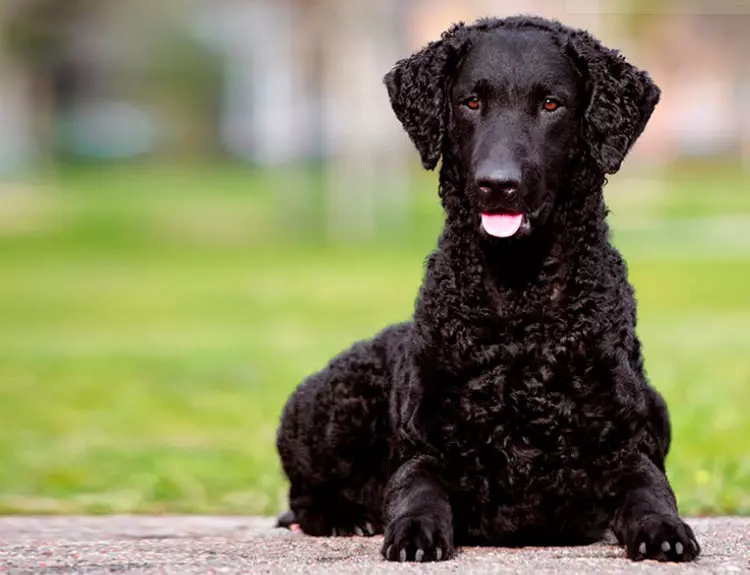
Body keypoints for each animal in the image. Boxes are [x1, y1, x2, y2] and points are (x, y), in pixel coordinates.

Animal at [278, 15, 704, 564]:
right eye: (472, 102)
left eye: (551, 104)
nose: (497, 184)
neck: (519, 306)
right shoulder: (425, 448)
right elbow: (417, 489)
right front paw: (414, 531)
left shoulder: (626, 446)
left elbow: (650, 489)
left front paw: (663, 528)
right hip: (331, 403)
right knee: (302, 498)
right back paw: (347, 518)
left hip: (658, 407)